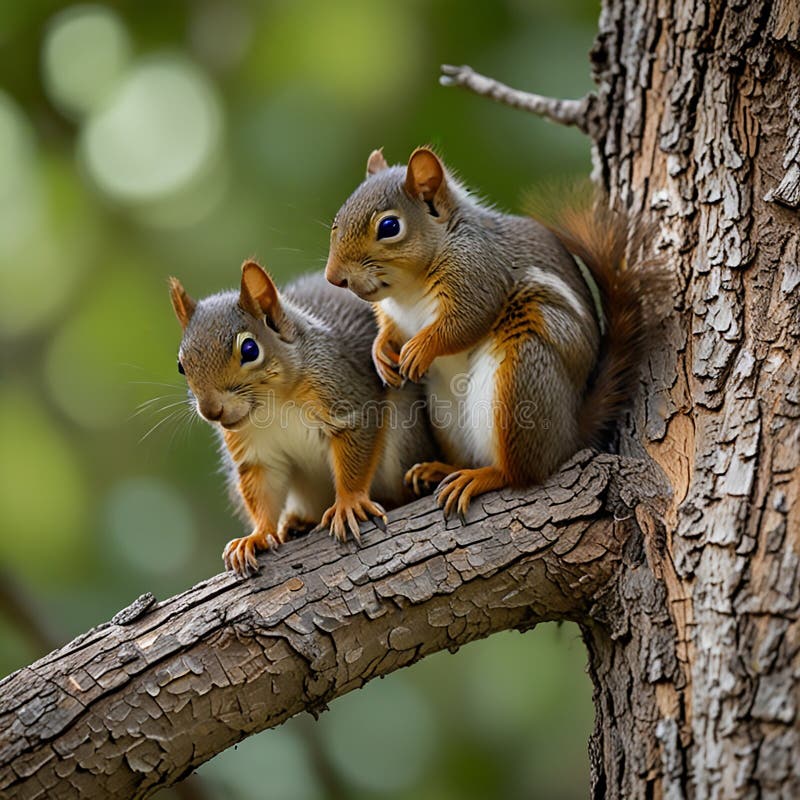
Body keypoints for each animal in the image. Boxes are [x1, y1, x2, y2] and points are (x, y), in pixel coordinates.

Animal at [169, 260, 435, 576]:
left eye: (250, 350)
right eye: (181, 365)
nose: (211, 411)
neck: (273, 406)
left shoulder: (347, 402)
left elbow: (354, 461)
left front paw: (348, 504)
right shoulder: (255, 452)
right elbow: (262, 491)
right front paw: (257, 535)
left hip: (403, 438)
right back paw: (296, 523)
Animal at [325, 147, 664, 520]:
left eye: (389, 226)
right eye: (337, 220)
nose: (334, 278)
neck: (407, 290)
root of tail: (571, 432)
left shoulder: (478, 273)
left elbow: (465, 322)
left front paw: (420, 349)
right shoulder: (395, 313)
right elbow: (389, 329)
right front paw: (381, 352)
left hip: (520, 378)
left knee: (522, 473)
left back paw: (483, 477)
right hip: (445, 409)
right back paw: (440, 470)